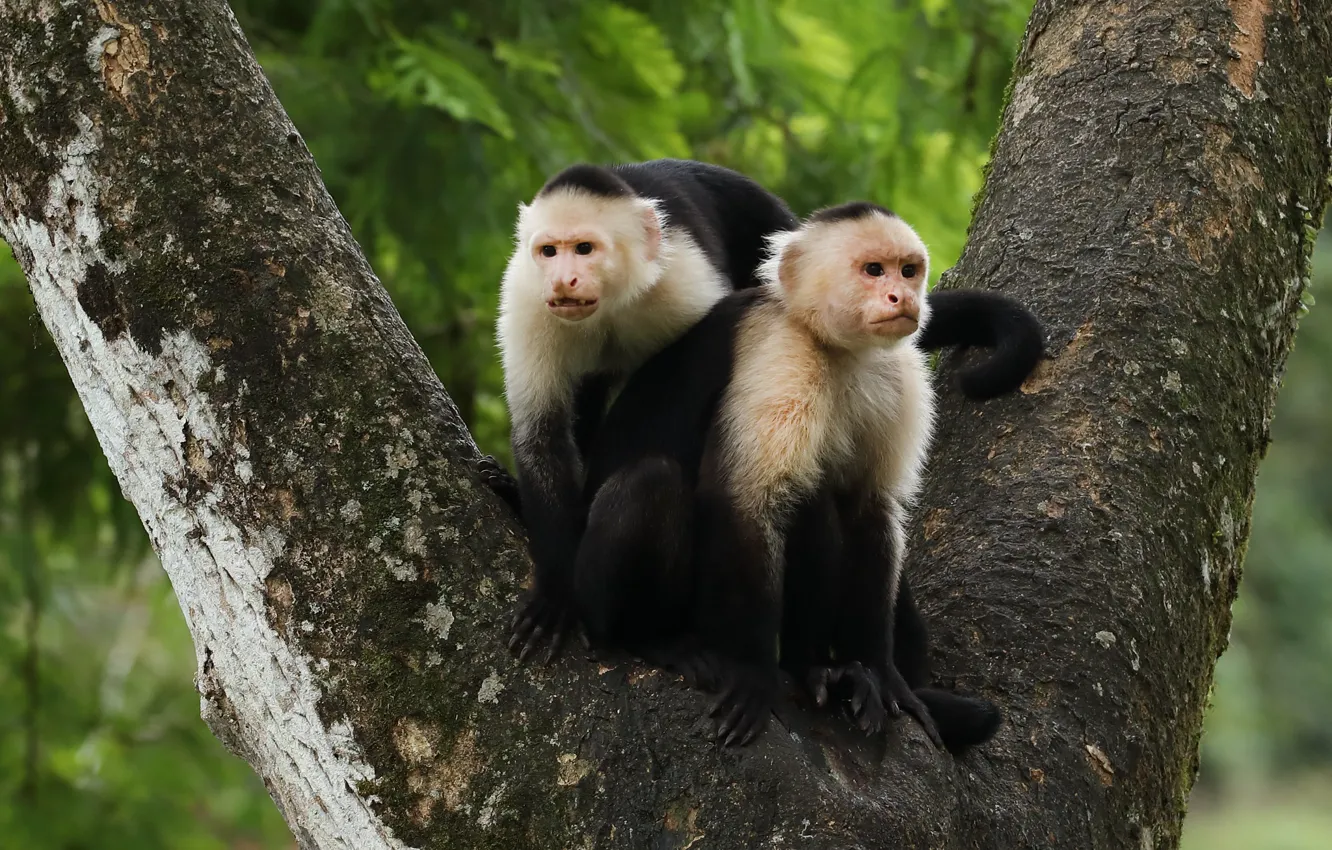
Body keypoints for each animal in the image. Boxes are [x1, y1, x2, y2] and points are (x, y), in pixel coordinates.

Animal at [495, 159, 800, 663]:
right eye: (549, 252)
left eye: (584, 249)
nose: (562, 280)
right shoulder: (527, 299)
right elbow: (543, 435)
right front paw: (557, 593)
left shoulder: (682, 282)